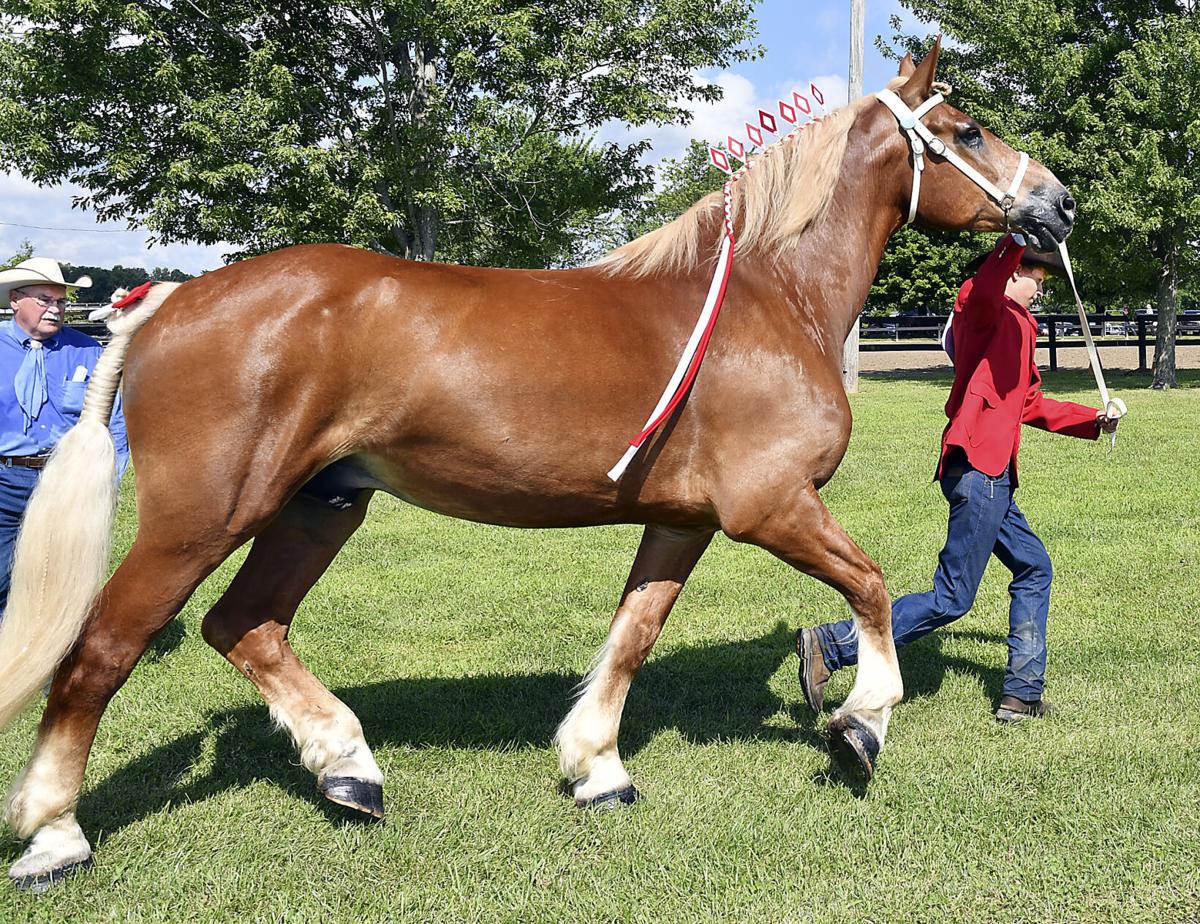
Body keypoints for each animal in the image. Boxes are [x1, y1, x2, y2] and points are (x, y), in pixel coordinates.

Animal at [0, 41, 1076, 890]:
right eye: (971, 129)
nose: (1058, 203)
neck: (771, 299)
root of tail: (165, 300)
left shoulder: (683, 521)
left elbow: (634, 635)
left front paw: (596, 768)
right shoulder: (770, 507)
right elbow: (871, 586)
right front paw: (862, 725)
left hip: (318, 506)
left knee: (245, 625)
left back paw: (348, 769)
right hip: (204, 515)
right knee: (101, 652)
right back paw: (54, 836)